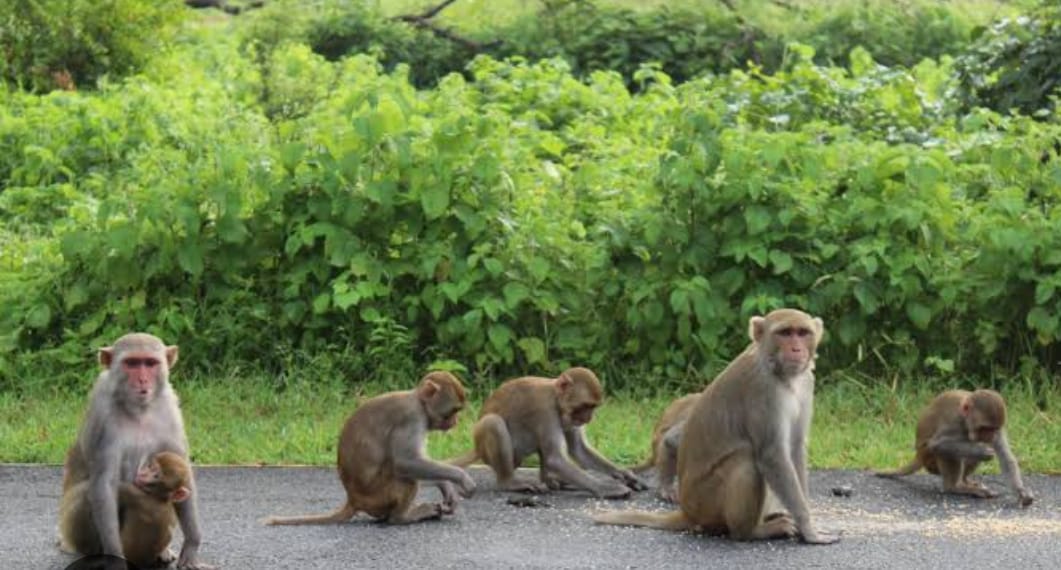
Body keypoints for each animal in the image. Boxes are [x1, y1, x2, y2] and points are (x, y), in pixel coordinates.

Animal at [61, 452, 192, 568]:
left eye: (156, 476)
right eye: (150, 467)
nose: (143, 474)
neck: (158, 497)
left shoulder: (134, 492)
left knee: (85, 493)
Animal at [263, 371, 476, 526]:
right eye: (453, 411)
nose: (456, 422)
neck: (420, 403)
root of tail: (353, 499)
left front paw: (446, 486)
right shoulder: (411, 419)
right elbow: (405, 462)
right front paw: (462, 478)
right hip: (378, 495)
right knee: (404, 477)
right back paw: (401, 517)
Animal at [449, 367, 646, 499]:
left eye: (593, 407)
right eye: (584, 406)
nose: (588, 418)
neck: (556, 398)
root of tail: (477, 448)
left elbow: (579, 451)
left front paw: (624, 474)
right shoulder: (545, 410)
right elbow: (555, 459)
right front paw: (606, 488)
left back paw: (552, 481)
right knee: (493, 423)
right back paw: (510, 482)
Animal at [594, 309, 839, 544]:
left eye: (803, 333)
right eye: (785, 333)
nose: (797, 349)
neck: (779, 372)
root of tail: (687, 511)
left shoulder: (806, 383)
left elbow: (795, 448)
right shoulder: (763, 389)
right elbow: (773, 455)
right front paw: (809, 530)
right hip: (707, 502)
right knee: (746, 460)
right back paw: (751, 531)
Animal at [876, 389, 1034, 507]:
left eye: (993, 429)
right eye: (984, 428)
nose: (990, 437)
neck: (965, 418)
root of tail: (918, 454)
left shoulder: (999, 430)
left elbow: (1007, 459)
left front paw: (1022, 493)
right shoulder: (954, 421)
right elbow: (938, 444)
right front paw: (981, 450)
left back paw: (965, 481)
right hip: (928, 458)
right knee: (947, 452)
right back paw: (954, 487)